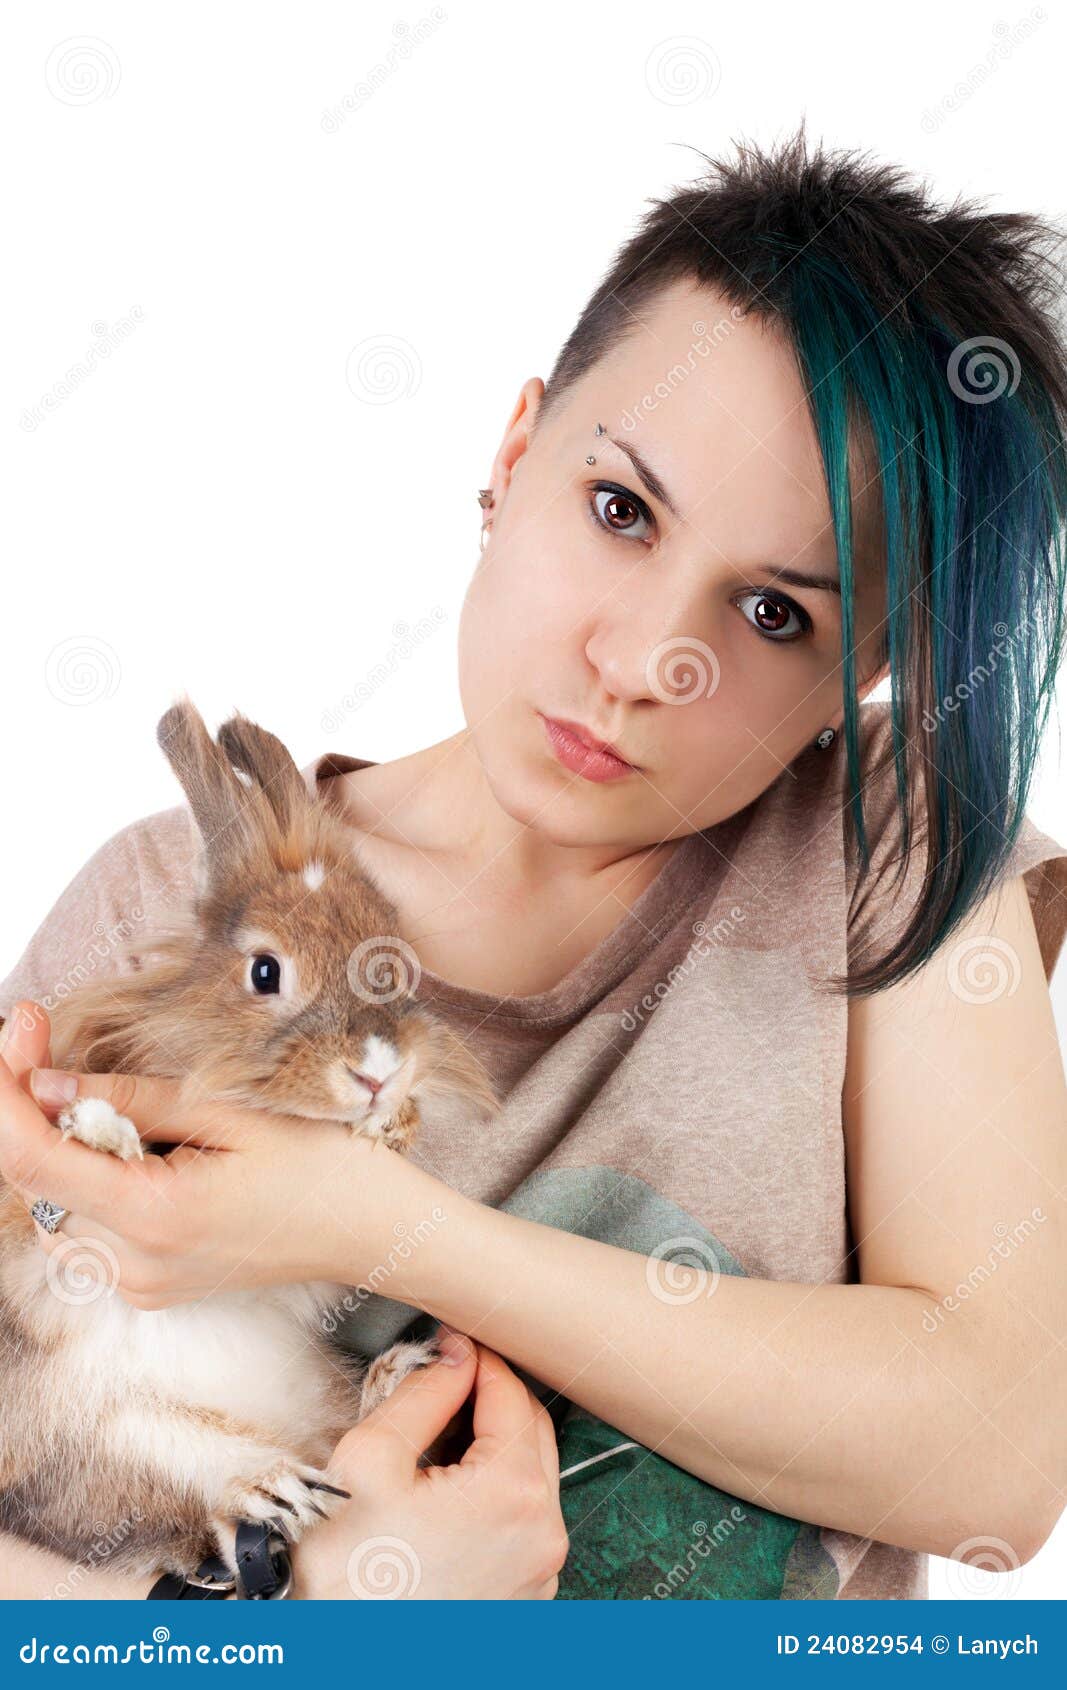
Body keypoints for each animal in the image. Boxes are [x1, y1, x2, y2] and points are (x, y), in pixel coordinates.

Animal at [0, 697, 499, 1582]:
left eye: (395, 963)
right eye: (265, 973)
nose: (377, 1070)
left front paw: (391, 1121)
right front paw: (99, 1133)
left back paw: (394, 1379)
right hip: (106, 1436)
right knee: (206, 1488)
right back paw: (273, 1483)